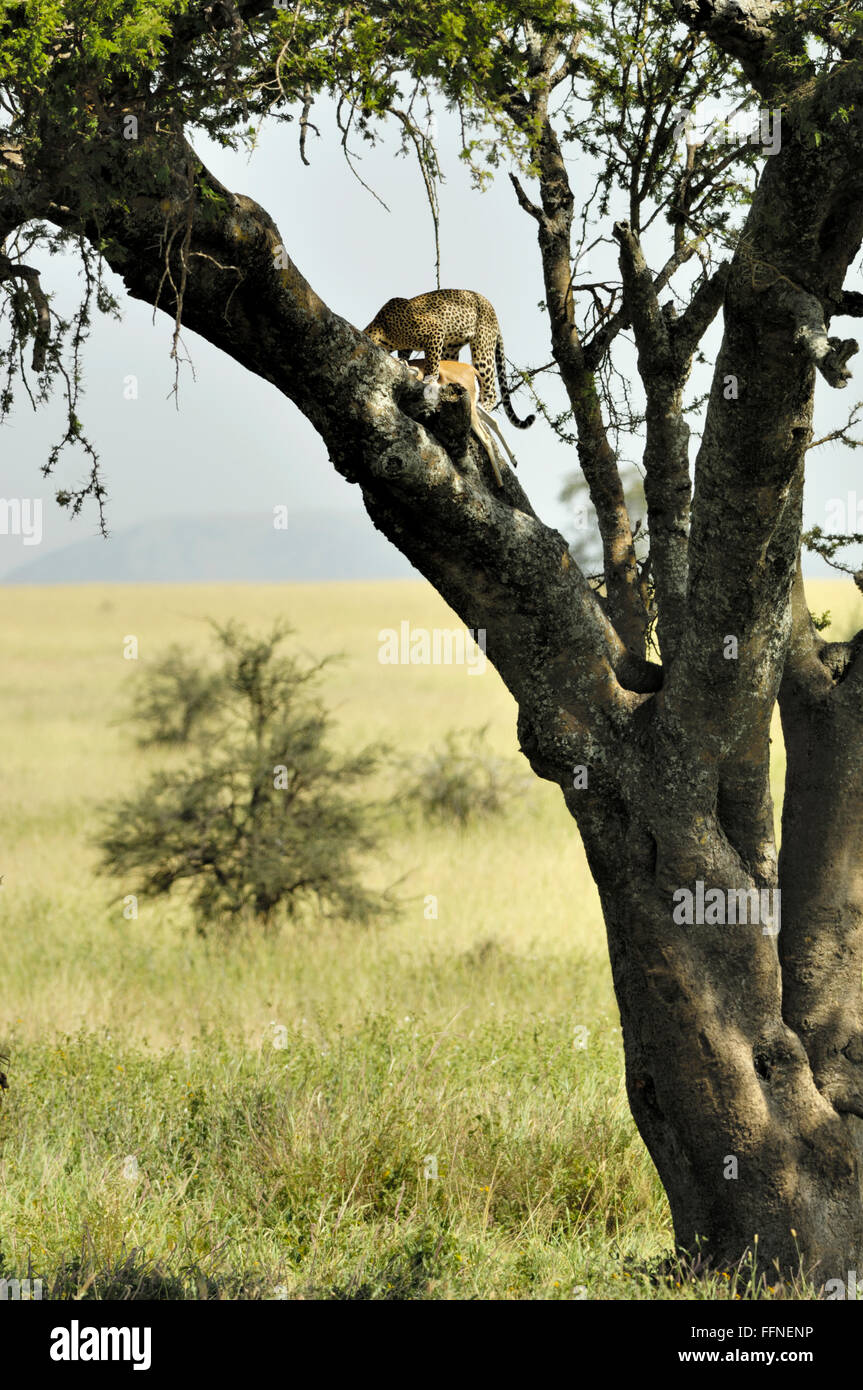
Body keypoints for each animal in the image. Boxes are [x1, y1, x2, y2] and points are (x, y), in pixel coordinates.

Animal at [362, 288, 535, 429]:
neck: (383, 327)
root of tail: (493, 311)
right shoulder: (407, 347)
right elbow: (408, 357)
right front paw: (405, 364)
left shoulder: (435, 331)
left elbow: (432, 364)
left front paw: (428, 381)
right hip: (450, 349)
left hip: (482, 345)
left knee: (491, 390)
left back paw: (481, 408)